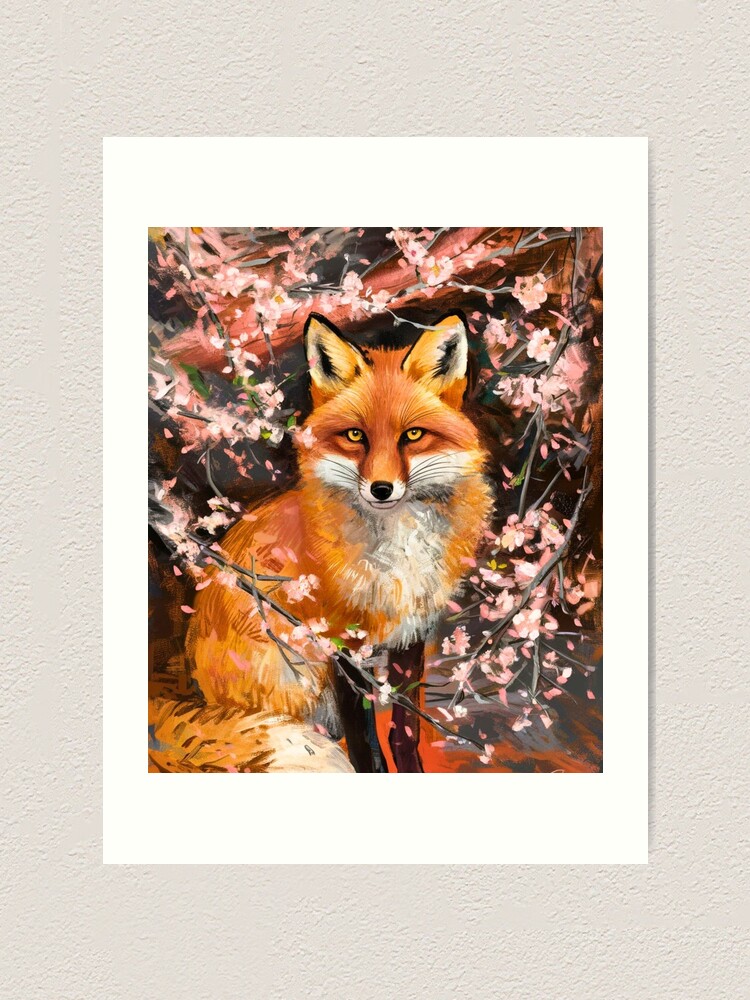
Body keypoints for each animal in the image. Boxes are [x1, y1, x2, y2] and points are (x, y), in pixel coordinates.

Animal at [153, 311, 494, 772]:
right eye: (355, 436)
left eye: (412, 435)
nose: (382, 489)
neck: (397, 553)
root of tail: (203, 700)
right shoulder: (342, 645)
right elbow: (365, 742)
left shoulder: (411, 635)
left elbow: (403, 733)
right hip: (296, 675)